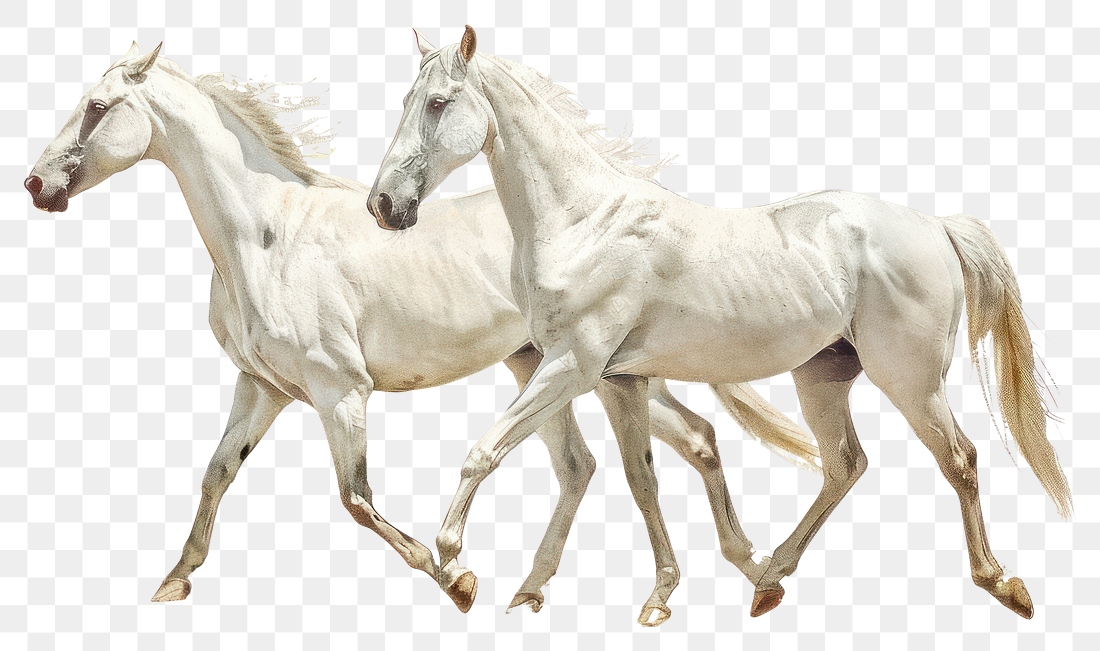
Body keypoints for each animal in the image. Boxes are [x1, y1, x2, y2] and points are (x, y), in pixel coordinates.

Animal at [24, 43, 823, 614]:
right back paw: (558, 589)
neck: (266, 236)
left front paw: (454, 579)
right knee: (597, 462)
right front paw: (173, 580)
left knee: (686, 441)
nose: (36, 185)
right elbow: (217, 472)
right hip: (545, 368)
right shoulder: (264, 387)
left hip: (593, 370)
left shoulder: (339, 391)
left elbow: (356, 497)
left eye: (96, 107)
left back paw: (750, 577)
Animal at [366, 27, 1072, 626]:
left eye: (437, 102)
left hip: (911, 381)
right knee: (845, 465)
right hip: (822, 378)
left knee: (959, 459)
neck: (584, 221)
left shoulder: (572, 366)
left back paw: (1003, 585)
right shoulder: (619, 381)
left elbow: (484, 451)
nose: (383, 205)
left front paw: (453, 564)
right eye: (404, 100)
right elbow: (642, 479)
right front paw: (658, 597)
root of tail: (934, 226)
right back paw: (769, 580)